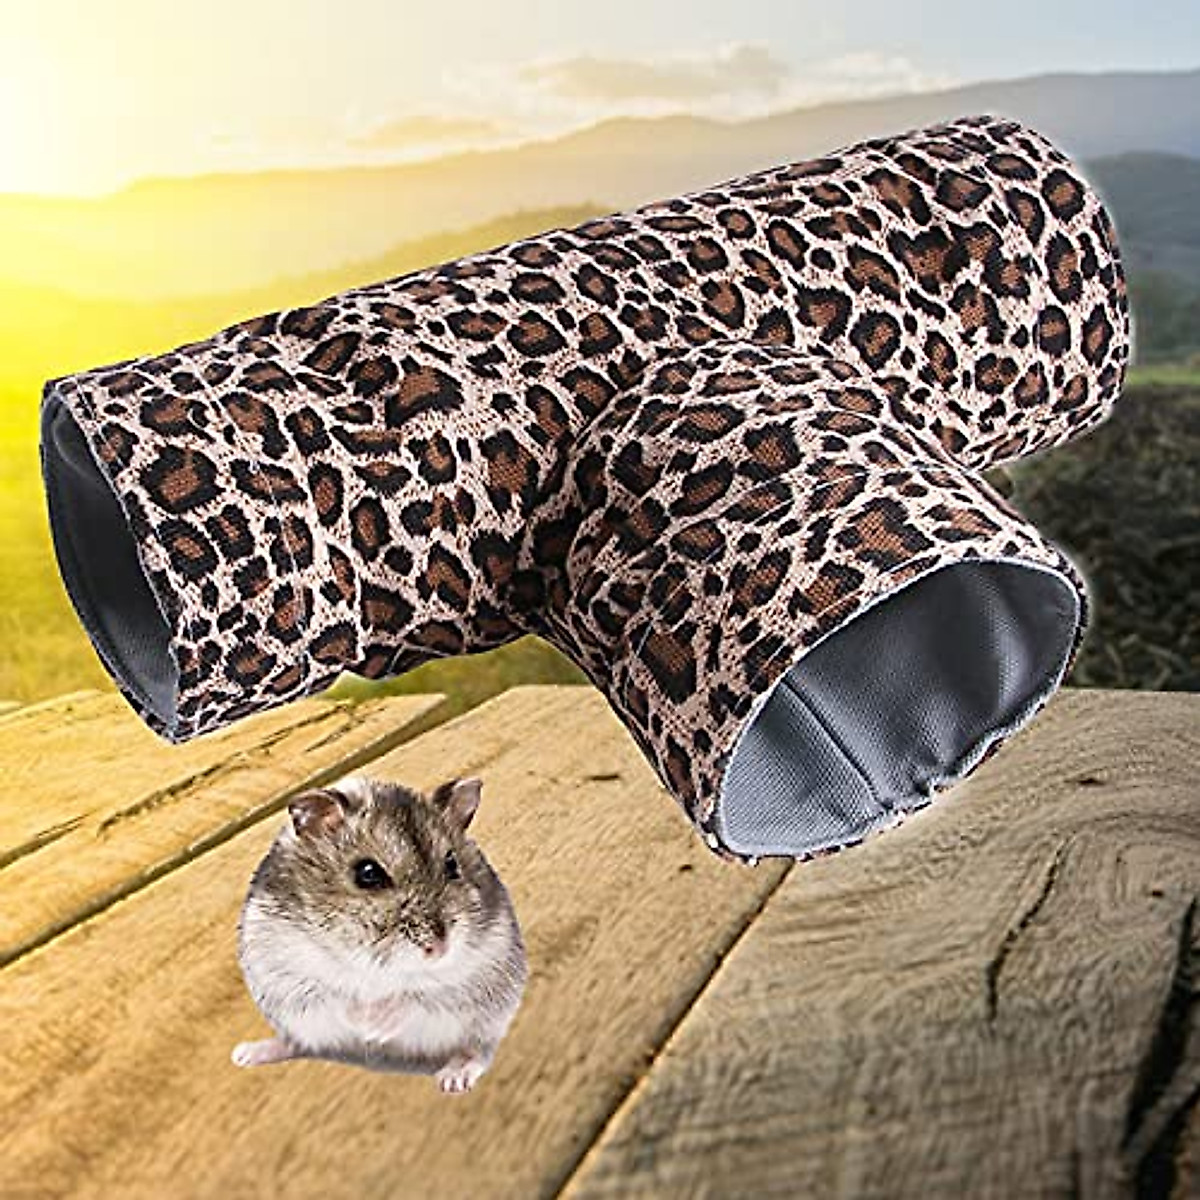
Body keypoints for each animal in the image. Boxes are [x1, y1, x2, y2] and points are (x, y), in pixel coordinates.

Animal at [231, 774, 527, 1094]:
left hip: (489, 1020)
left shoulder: (479, 966)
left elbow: (418, 995)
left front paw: (376, 1027)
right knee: (297, 1042)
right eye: (368, 873)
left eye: (452, 864)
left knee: (478, 1050)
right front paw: (366, 1025)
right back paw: (246, 1054)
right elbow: (334, 996)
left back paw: (453, 1078)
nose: (439, 948)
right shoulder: (285, 969)